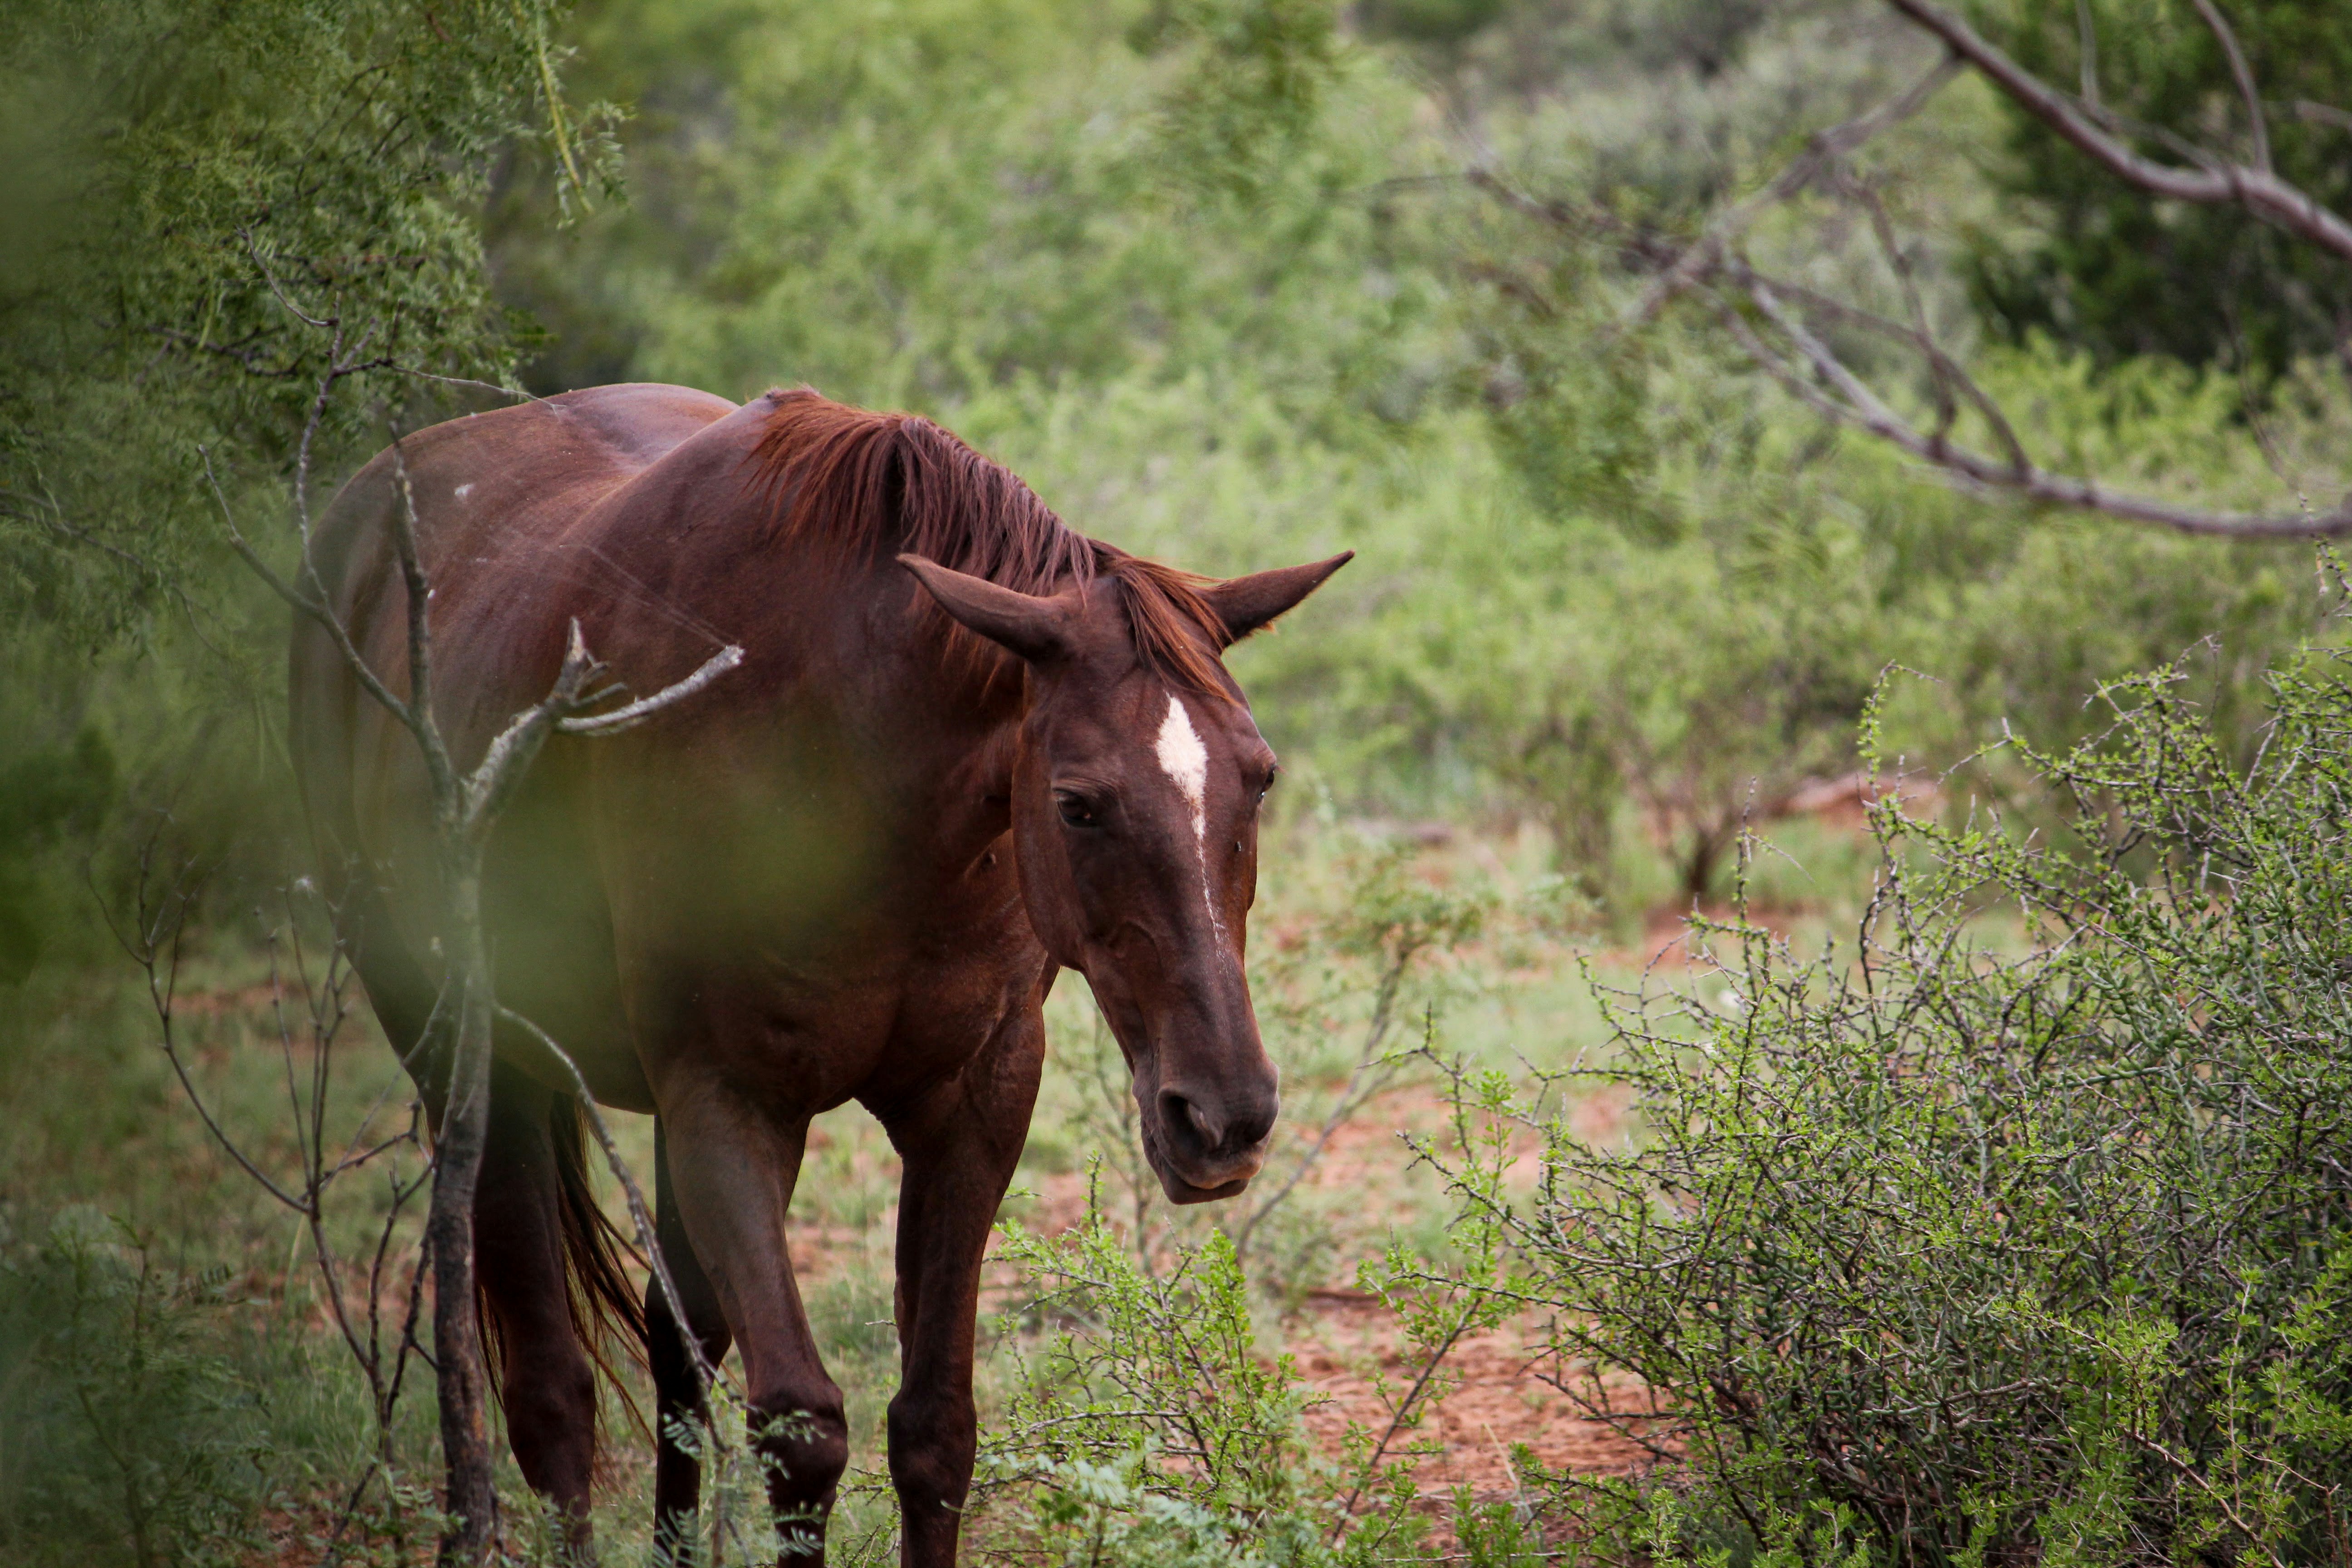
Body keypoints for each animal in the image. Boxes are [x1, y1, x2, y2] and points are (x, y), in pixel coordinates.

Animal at [290, 383, 1349, 1565]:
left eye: (1259, 777)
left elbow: (934, 1427)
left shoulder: (973, 1103)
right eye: (1078, 804)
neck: (857, 765)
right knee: (553, 1397)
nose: (1222, 1118)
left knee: (675, 1350)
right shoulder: (730, 1106)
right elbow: (800, 1431)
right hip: (477, 1063)